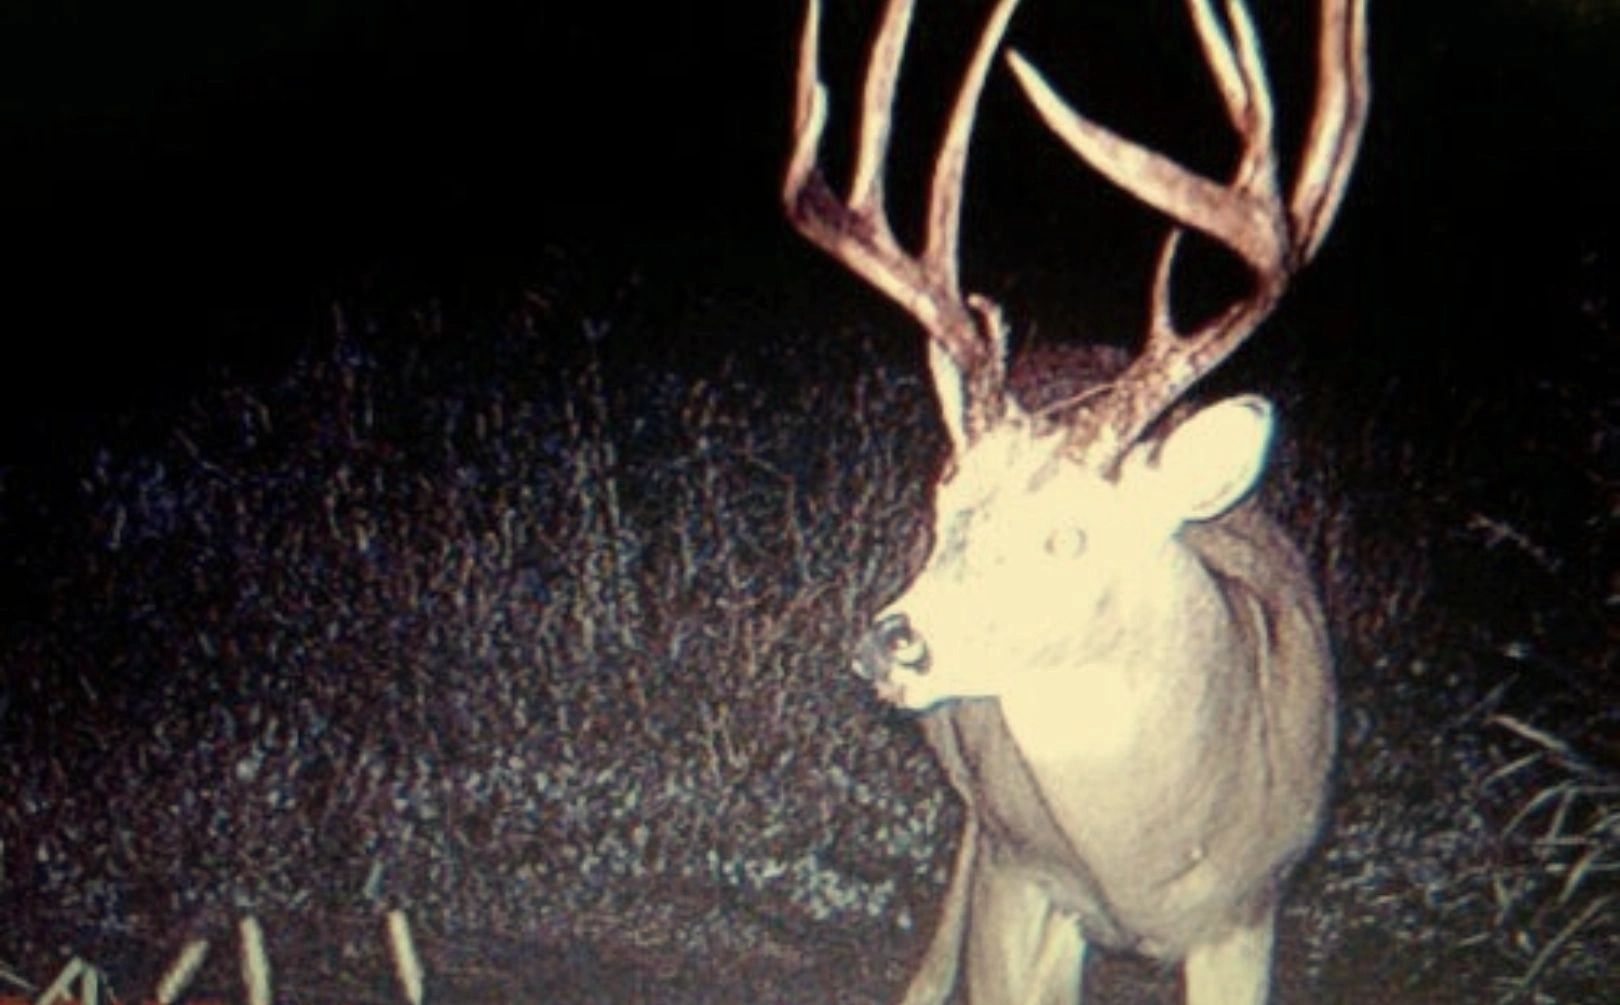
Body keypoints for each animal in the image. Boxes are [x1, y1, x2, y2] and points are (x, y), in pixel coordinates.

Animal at [783, 0, 1367, 1002]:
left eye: (1070, 536)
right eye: (945, 499)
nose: (893, 640)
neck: (1144, 858)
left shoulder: (1249, 913)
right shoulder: (1025, 881)